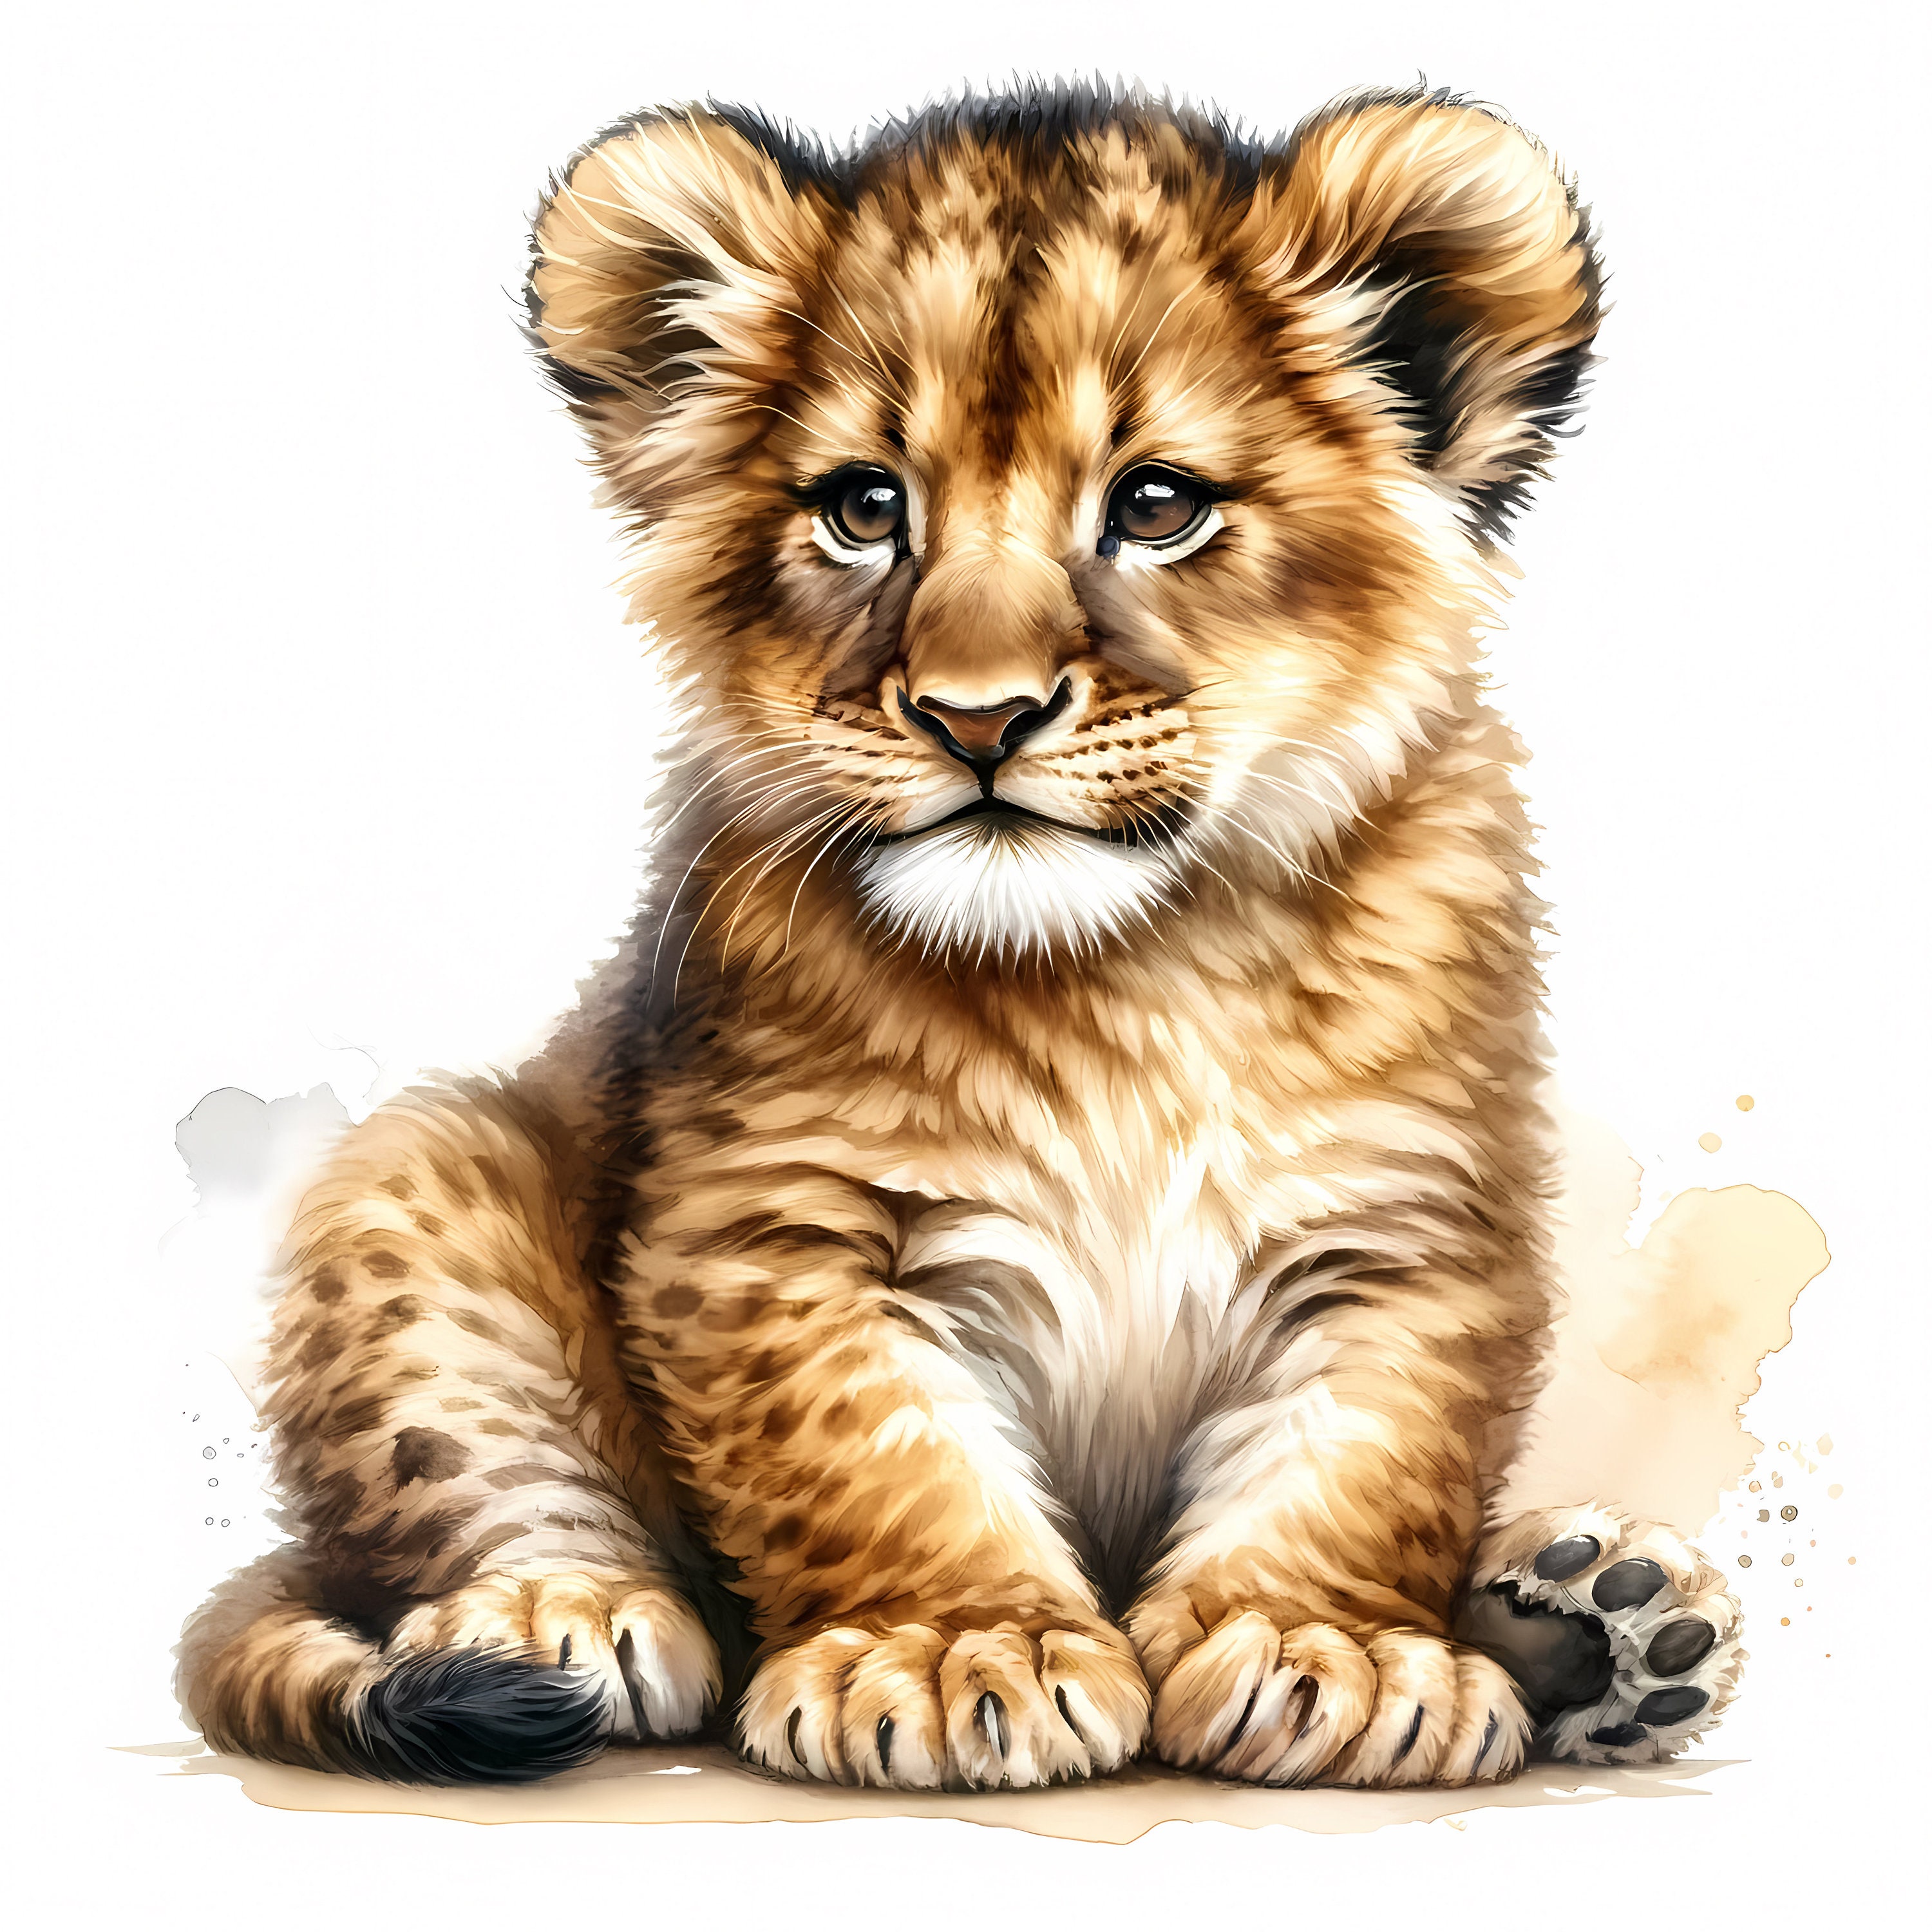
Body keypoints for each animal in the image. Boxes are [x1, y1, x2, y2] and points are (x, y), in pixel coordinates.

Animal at [179, 82, 1741, 1790]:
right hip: (417, 1176)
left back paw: (1610, 1619)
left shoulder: (1399, 1226)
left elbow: (1363, 1454)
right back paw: (553, 1618)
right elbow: (873, 1457)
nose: (974, 716)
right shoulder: (772, 1228)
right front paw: (949, 1654)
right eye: (864, 507)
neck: (1121, 976)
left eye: (1156, 503)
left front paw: (1321, 1648)